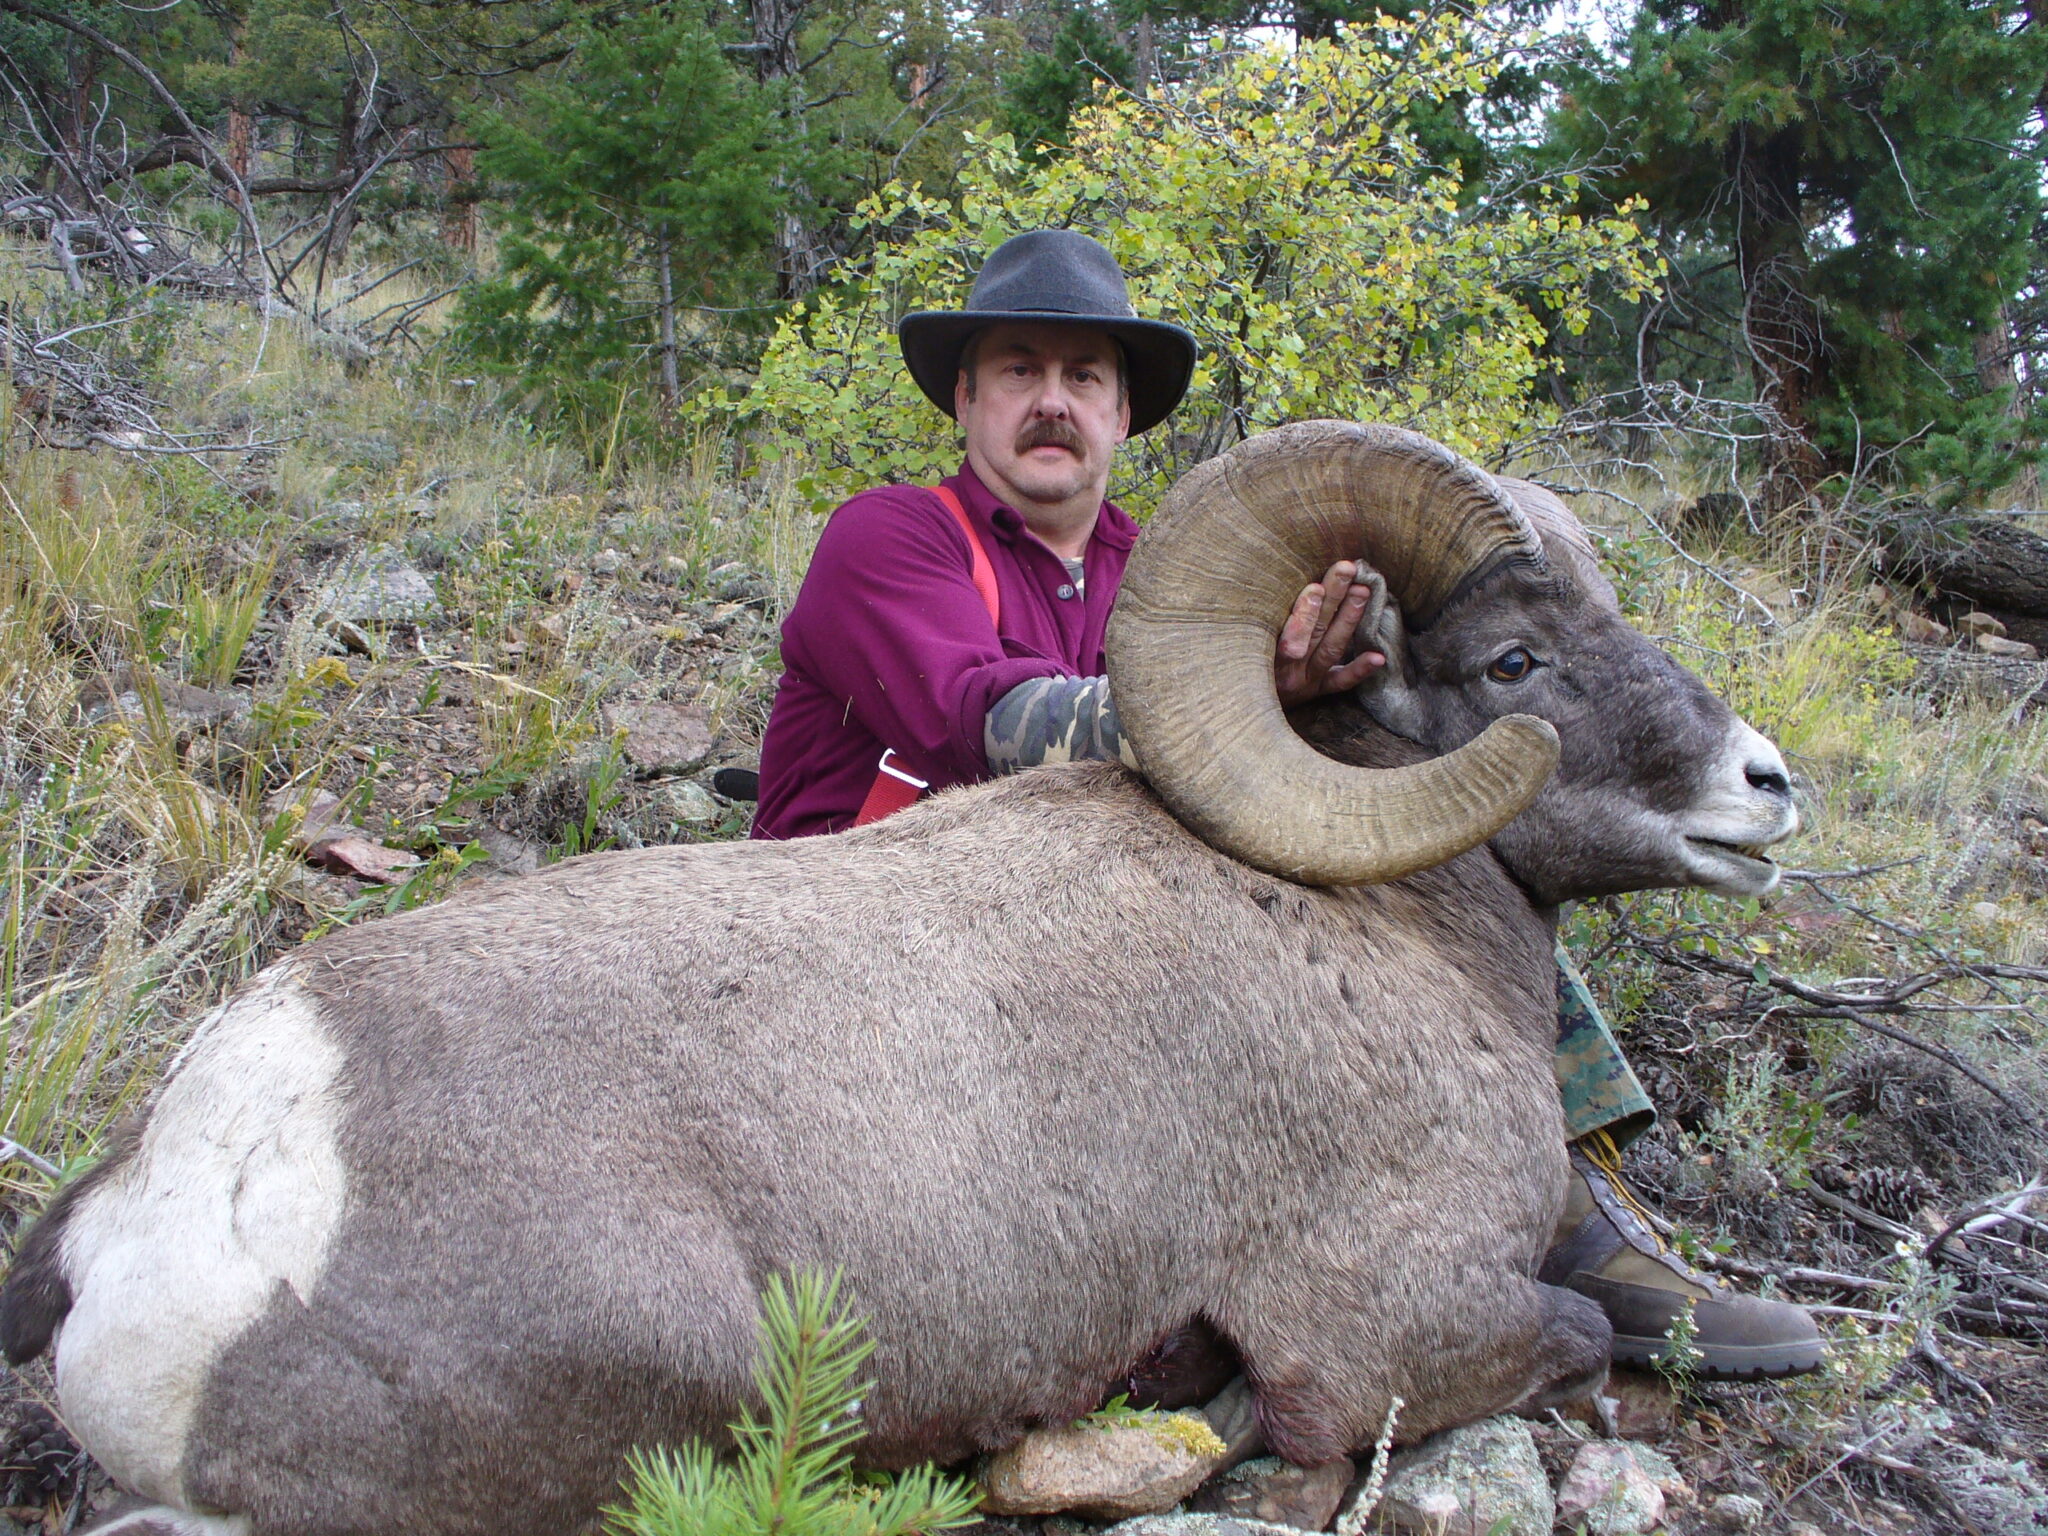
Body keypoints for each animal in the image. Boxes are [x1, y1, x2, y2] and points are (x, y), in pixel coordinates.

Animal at [0, 422, 1798, 1536]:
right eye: (1511, 662)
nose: (1766, 789)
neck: (1376, 924)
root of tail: (202, 1178)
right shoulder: (1382, 1332)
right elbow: (1567, 1331)